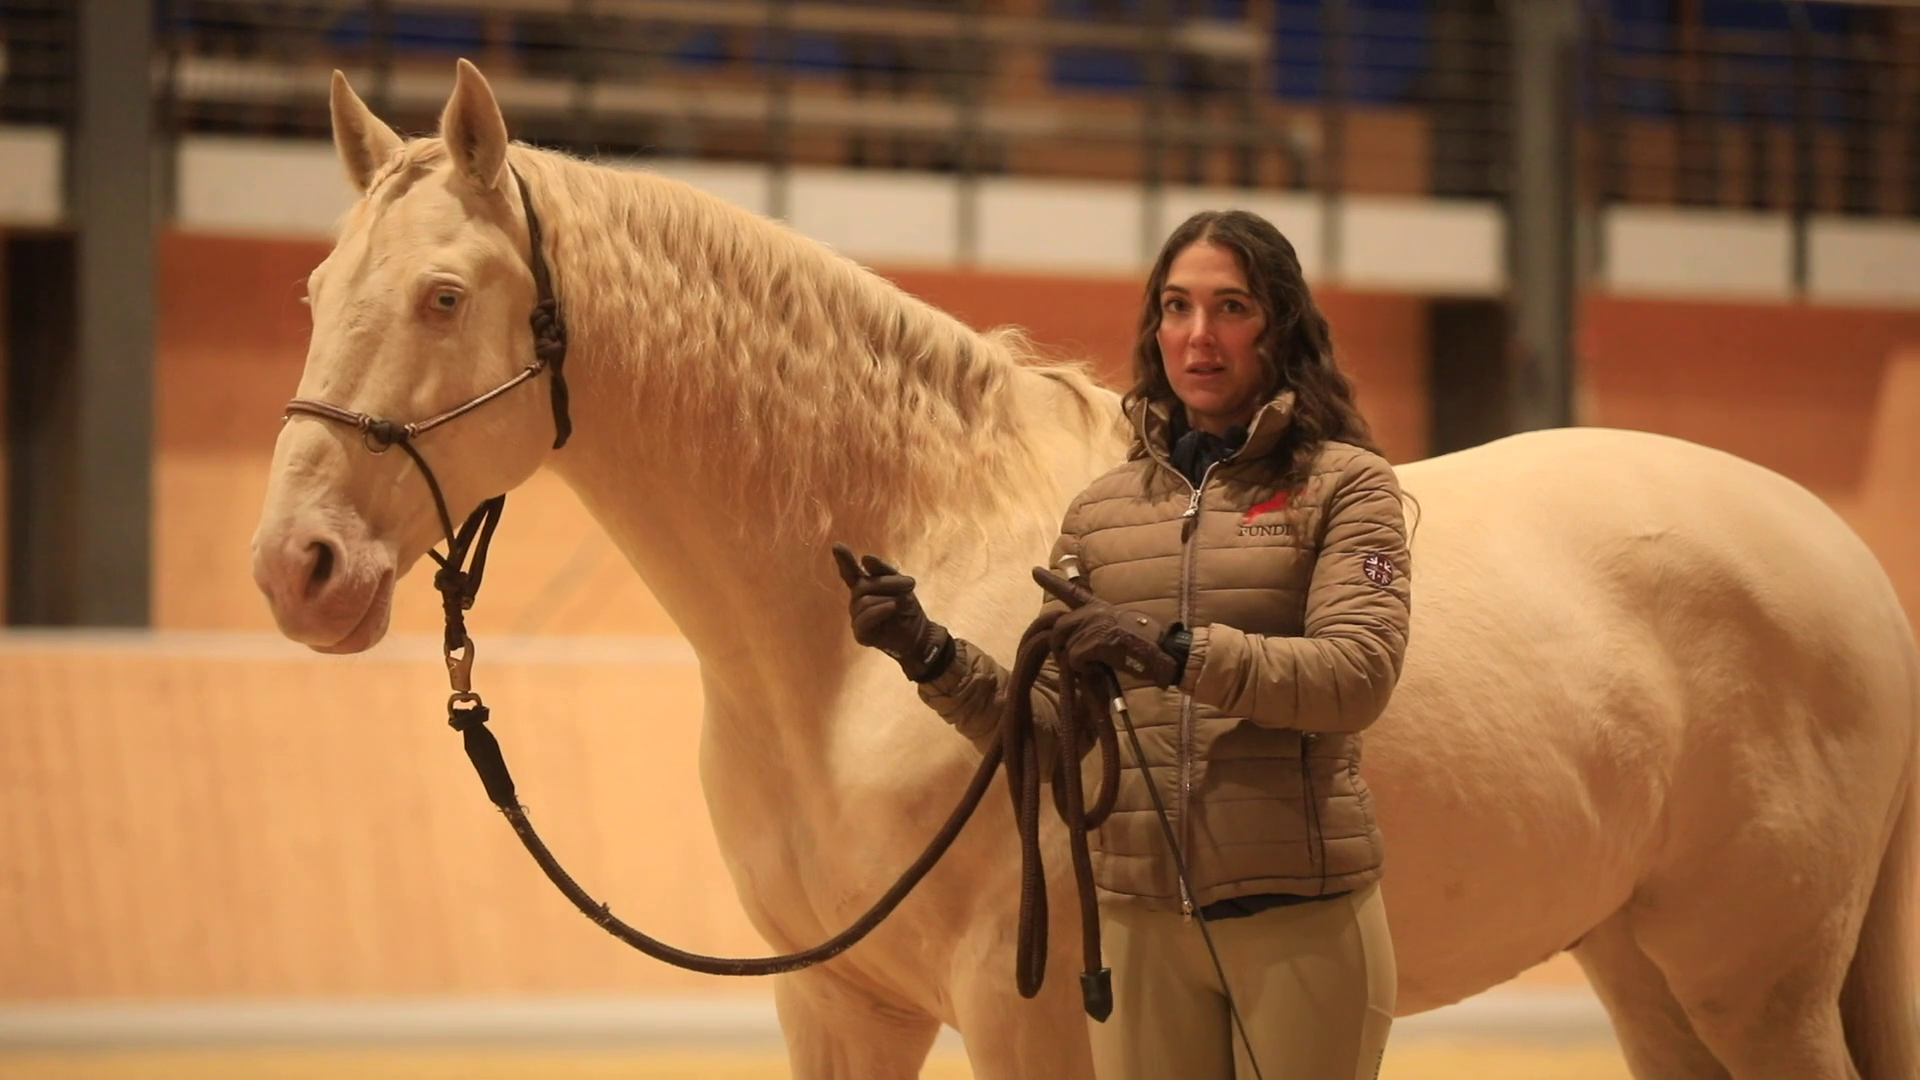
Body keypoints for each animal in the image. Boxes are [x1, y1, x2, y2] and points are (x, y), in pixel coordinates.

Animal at [250, 60, 1917, 1080]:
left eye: (445, 295)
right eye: (315, 291)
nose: (295, 567)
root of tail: (1844, 558)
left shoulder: (1029, 1015)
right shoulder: (834, 1004)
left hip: (1759, 986)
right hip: (1653, 970)